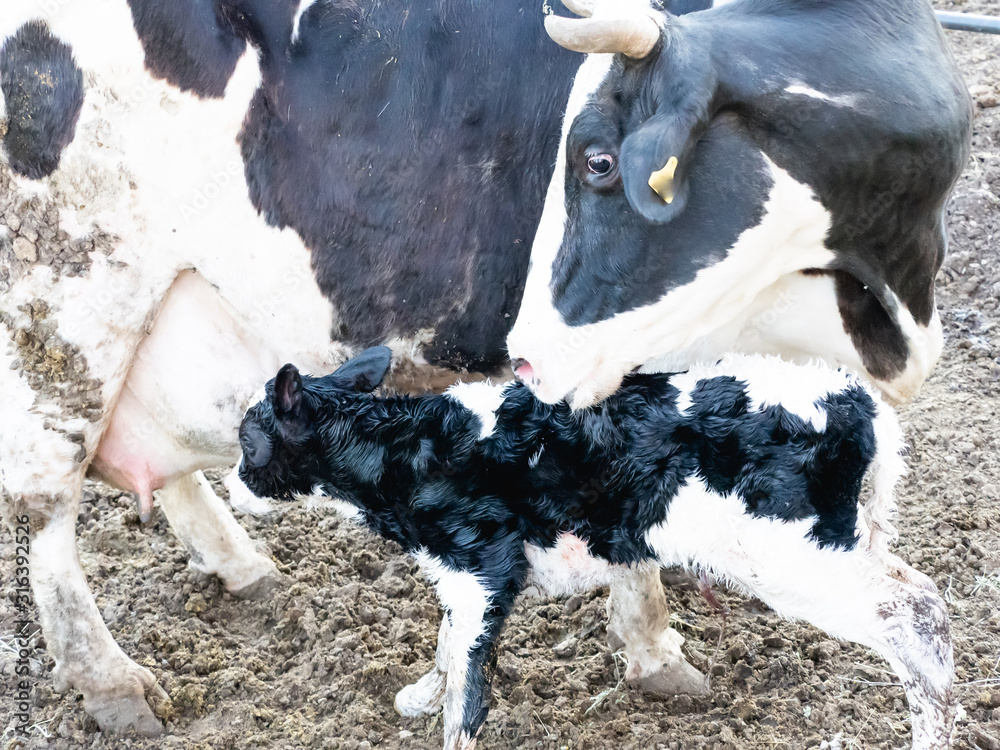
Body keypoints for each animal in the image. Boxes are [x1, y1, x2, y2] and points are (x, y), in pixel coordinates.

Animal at [236, 347, 953, 750]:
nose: (234, 482)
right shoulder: (462, 577)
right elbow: (445, 646)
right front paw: (419, 695)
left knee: (917, 616)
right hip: (847, 543)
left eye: (247, 442)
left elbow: (467, 688)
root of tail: (860, 401)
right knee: (921, 600)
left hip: (796, 556)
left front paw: (442, 709)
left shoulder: (483, 565)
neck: (403, 447)